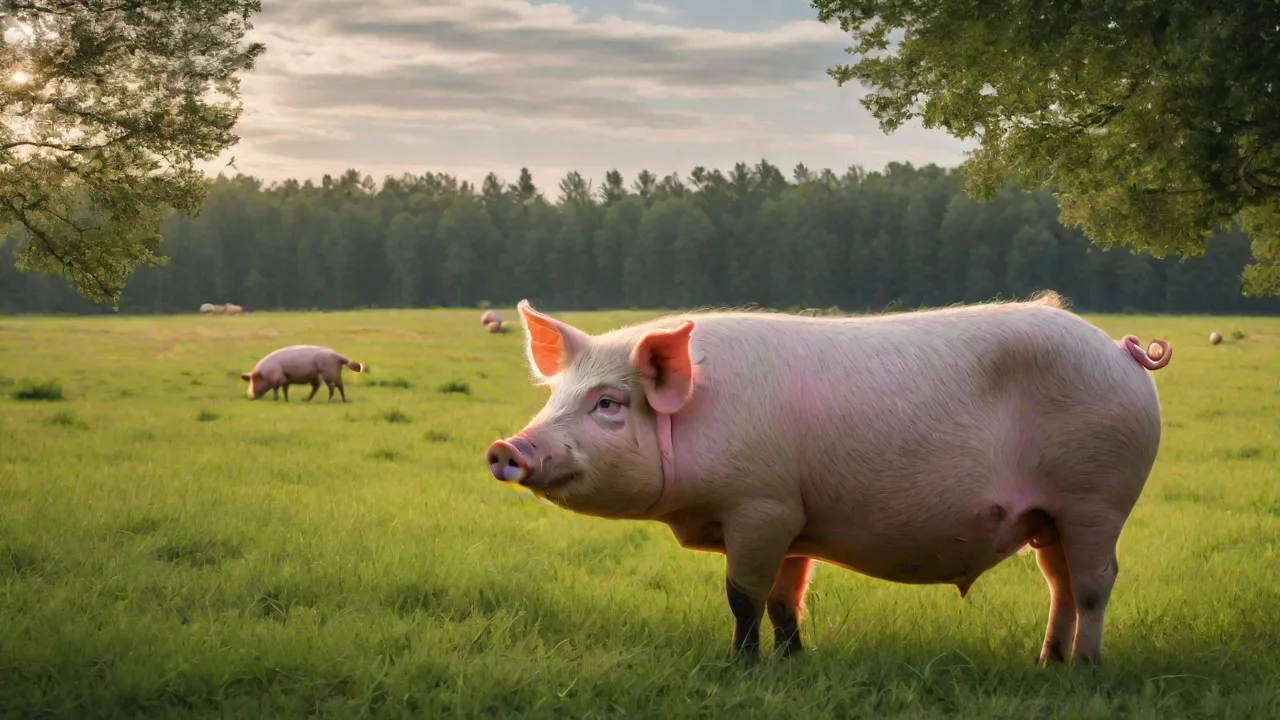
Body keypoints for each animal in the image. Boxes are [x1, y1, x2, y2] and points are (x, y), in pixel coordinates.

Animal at [485, 293, 1173, 666]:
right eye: (554, 396)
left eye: (608, 403)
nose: (505, 447)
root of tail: (1121, 351)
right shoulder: (793, 517)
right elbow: (786, 598)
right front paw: (793, 661)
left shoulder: (760, 506)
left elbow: (744, 595)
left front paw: (739, 666)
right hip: (1050, 516)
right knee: (1060, 584)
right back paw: (1046, 663)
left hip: (1098, 498)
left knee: (1095, 583)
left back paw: (1084, 668)